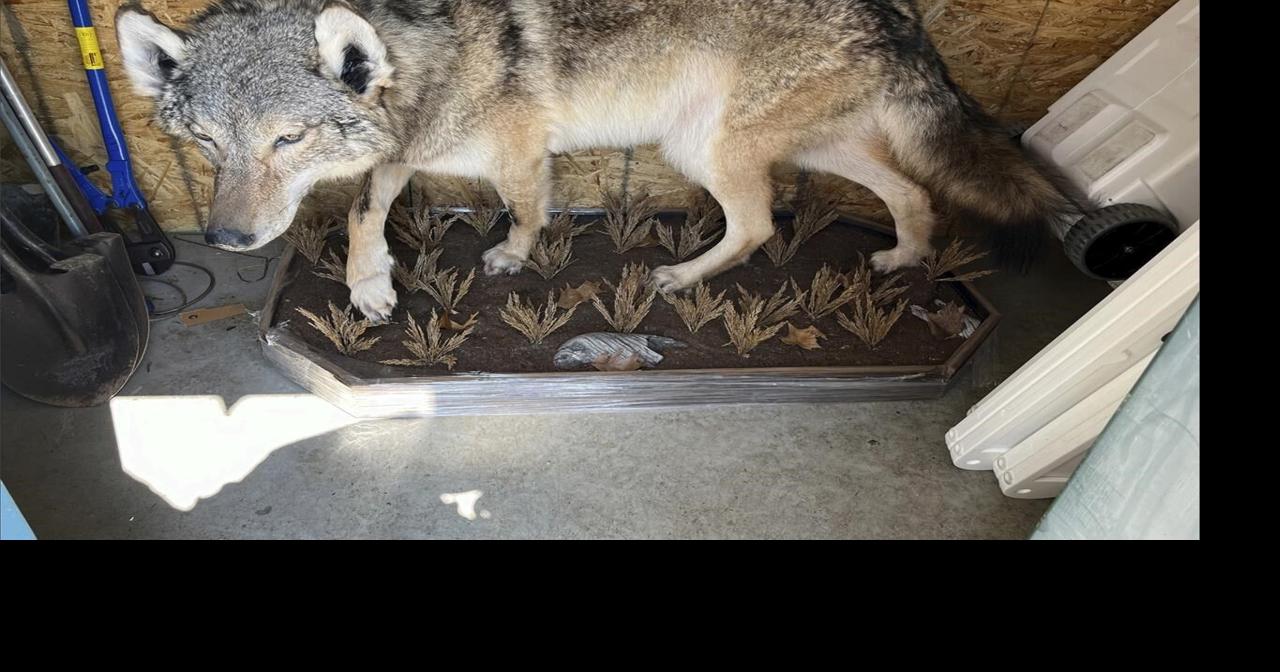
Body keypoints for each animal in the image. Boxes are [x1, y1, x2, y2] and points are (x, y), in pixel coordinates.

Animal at [117, 0, 1076, 322]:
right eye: (208, 145)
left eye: (288, 140)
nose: (228, 241)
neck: (424, 48)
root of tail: (903, 15)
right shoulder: (410, 148)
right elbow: (361, 211)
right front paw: (369, 289)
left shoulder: (514, 150)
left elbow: (525, 209)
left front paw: (511, 256)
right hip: (795, 146)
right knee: (912, 194)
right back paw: (906, 259)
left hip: (710, 150)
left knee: (761, 224)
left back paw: (682, 280)